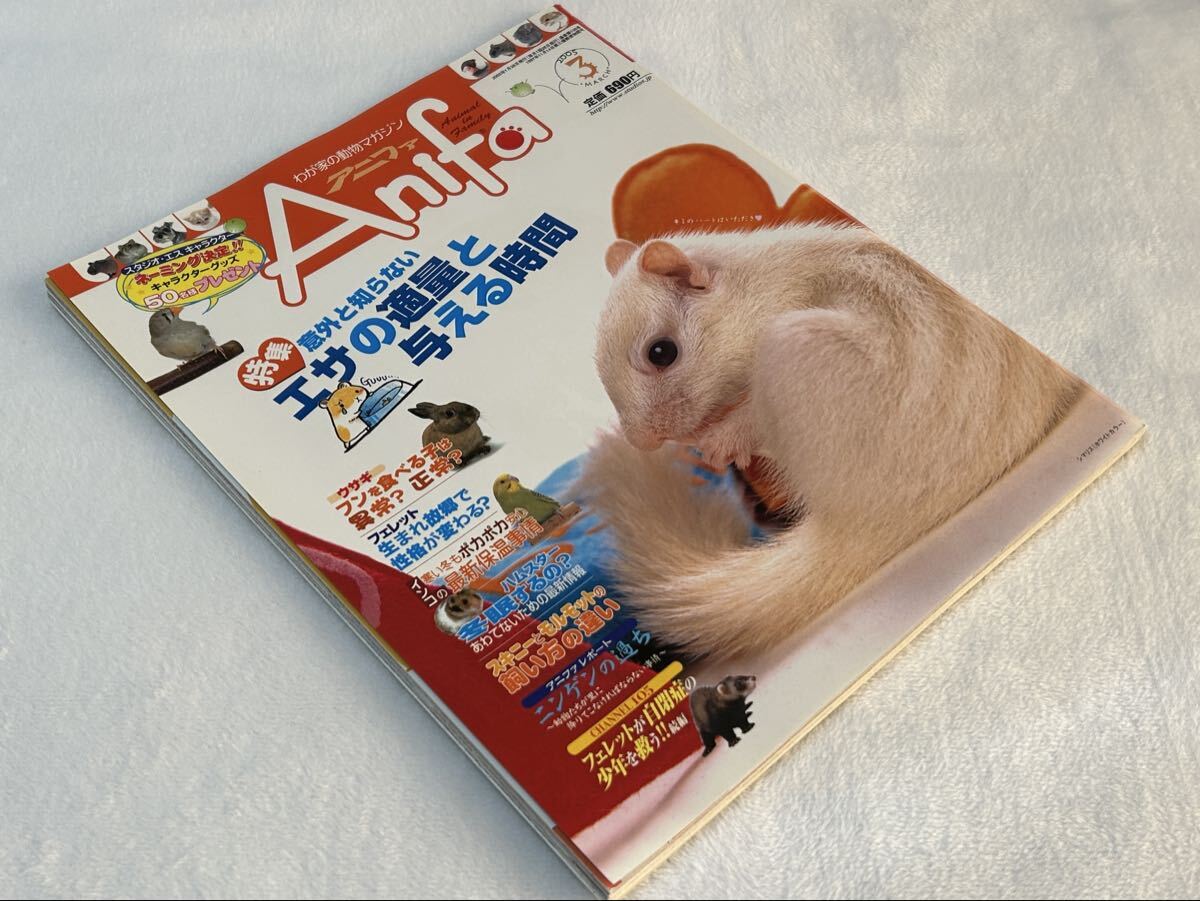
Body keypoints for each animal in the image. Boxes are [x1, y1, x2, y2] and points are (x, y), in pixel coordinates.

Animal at [575, 223, 1082, 660]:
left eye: (661, 352)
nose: (642, 442)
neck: (759, 288)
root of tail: (874, 521)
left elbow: (750, 416)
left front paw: (718, 440)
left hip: (797, 348)